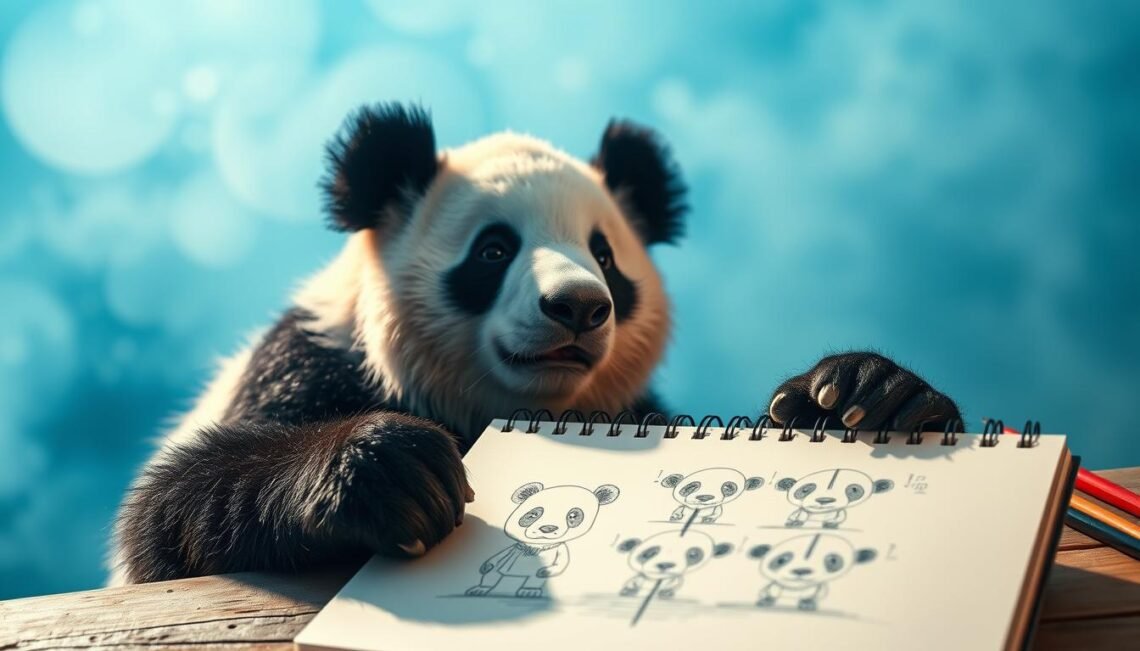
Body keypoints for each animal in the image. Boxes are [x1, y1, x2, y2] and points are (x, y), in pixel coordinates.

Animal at [110, 102, 960, 585]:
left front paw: (859, 396)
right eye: (493, 250)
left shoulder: (634, 407)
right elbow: (168, 514)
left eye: (605, 255)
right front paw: (391, 470)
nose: (578, 306)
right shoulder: (309, 364)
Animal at [466, 481, 618, 598]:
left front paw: (545, 571)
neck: (535, 547)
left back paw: (529, 591)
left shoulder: (559, 550)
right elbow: (494, 561)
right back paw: (480, 589)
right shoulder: (512, 550)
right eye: (533, 514)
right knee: (491, 576)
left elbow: (558, 564)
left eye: (573, 516)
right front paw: (486, 566)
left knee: (533, 580)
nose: (547, 528)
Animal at [749, 534, 877, 610]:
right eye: (781, 560)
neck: (795, 589)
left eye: (833, 560)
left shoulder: (816, 590)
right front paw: (765, 601)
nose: (801, 570)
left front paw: (807, 604)